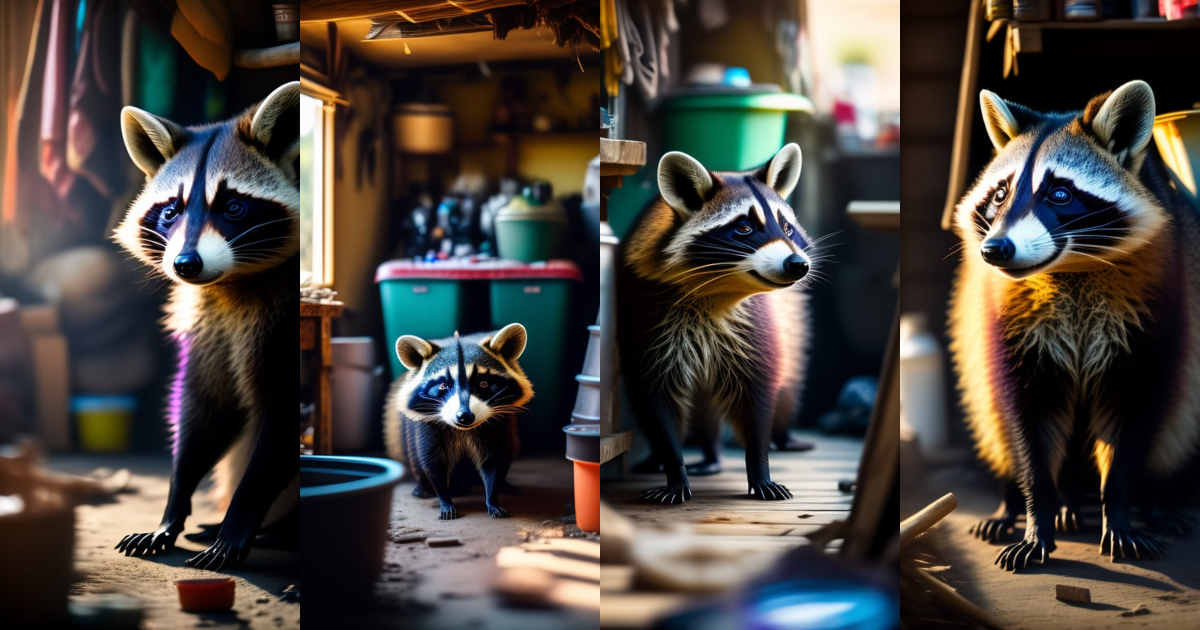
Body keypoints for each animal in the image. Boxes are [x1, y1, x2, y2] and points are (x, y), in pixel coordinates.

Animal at [112, 82, 300, 570]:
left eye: (234, 207)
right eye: (170, 211)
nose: (185, 264)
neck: (233, 282)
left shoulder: (281, 327)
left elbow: (279, 425)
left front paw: (241, 518)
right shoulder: (210, 325)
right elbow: (207, 406)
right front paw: (174, 508)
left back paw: (277, 529)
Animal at [384, 325, 533, 520]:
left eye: (483, 383)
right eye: (443, 386)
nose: (464, 416)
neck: (464, 429)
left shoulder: (497, 424)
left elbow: (495, 460)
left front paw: (492, 497)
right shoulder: (427, 426)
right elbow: (433, 464)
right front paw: (444, 499)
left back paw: (504, 485)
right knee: (414, 457)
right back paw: (423, 486)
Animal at [618, 143, 822, 504]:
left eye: (787, 229)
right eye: (744, 228)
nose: (798, 264)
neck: (716, 290)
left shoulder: (755, 323)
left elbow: (758, 393)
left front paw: (759, 465)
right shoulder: (645, 314)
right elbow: (653, 397)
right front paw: (673, 467)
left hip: (793, 322)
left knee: (789, 381)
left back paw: (778, 435)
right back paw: (695, 456)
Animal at [949, 80, 1200, 571]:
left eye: (1060, 194)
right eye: (1001, 194)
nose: (994, 250)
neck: (1069, 269)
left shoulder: (1154, 311)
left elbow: (1134, 414)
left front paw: (1119, 512)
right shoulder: (1010, 323)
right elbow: (1026, 420)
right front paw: (1036, 514)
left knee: (1173, 429)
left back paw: (1156, 501)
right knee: (995, 424)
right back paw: (1022, 502)